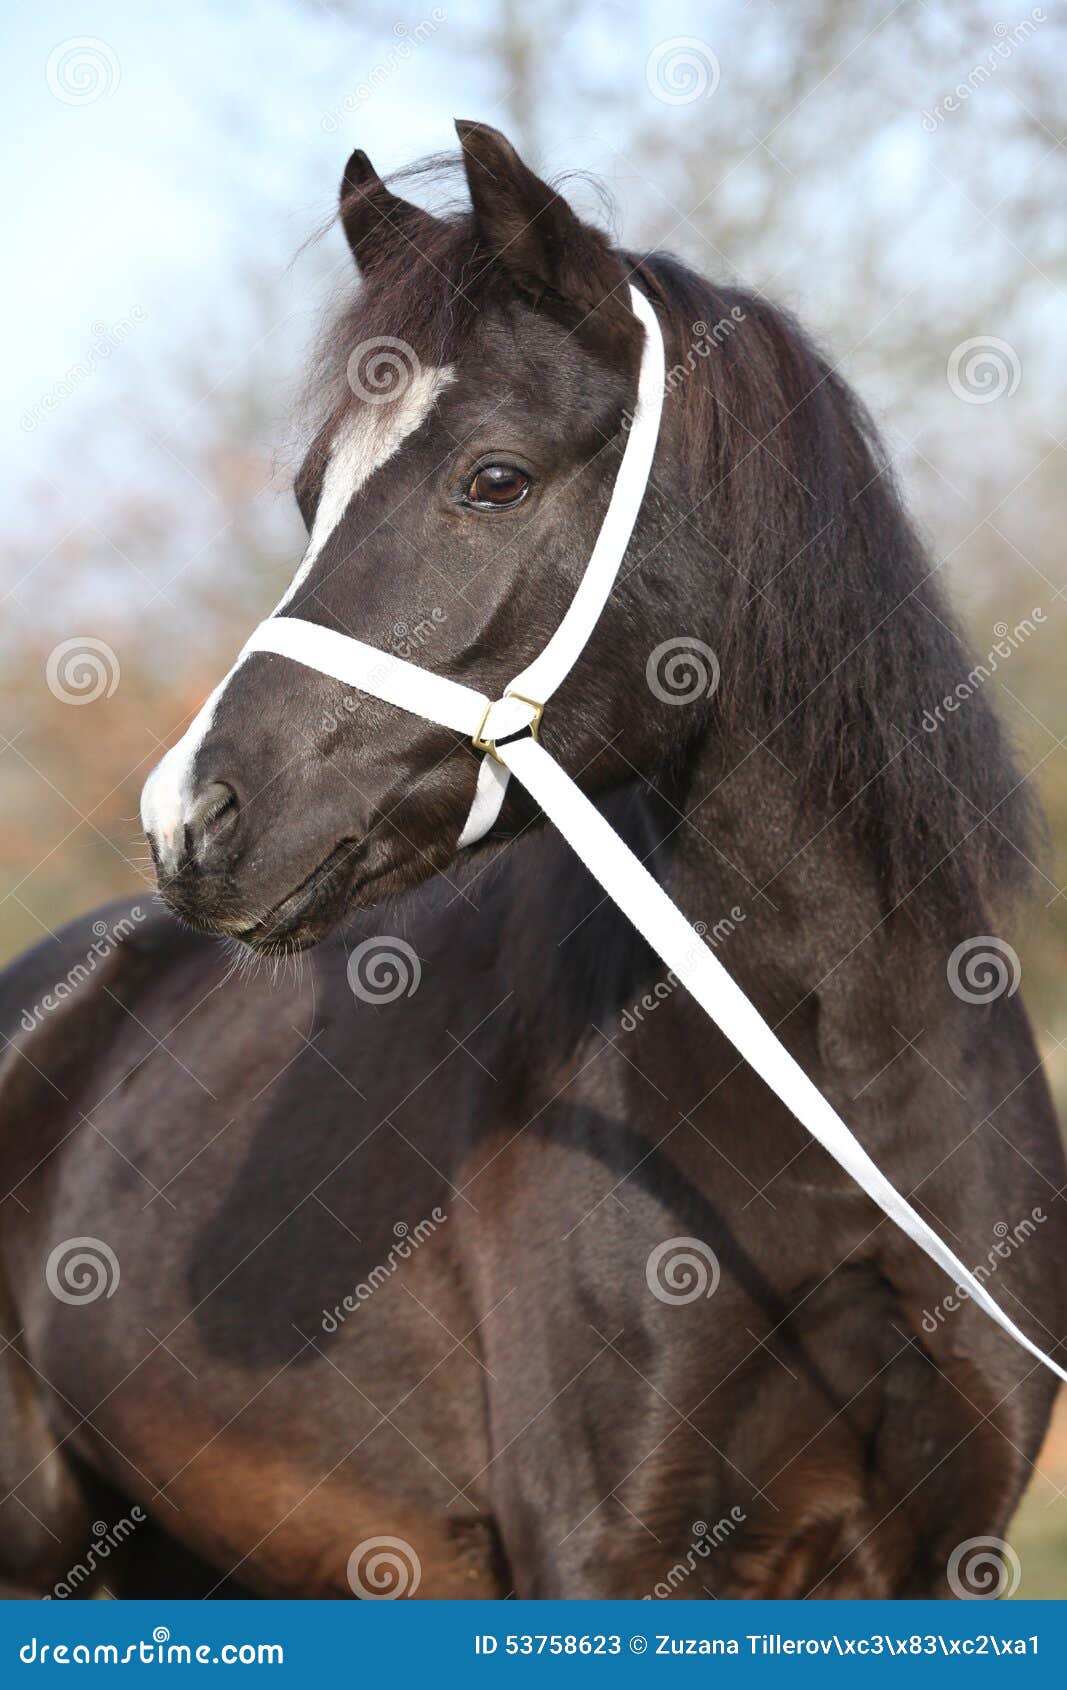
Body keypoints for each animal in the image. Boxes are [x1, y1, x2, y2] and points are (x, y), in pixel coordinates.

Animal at [1, 120, 1064, 1600]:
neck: (842, 1090)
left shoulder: (941, 1552)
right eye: (310, 496)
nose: (189, 818)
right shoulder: (603, 1557)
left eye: (492, 478)